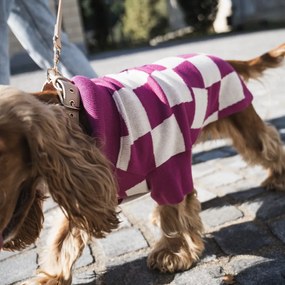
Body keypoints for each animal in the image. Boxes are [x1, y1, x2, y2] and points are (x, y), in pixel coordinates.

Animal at [0, 42, 284, 284]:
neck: (74, 113)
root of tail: (221, 59)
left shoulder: (168, 165)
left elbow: (174, 211)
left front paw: (173, 252)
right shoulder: (86, 190)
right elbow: (63, 238)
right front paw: (52, 276)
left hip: (241, 121)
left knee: (269, 143)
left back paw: (277, 178)